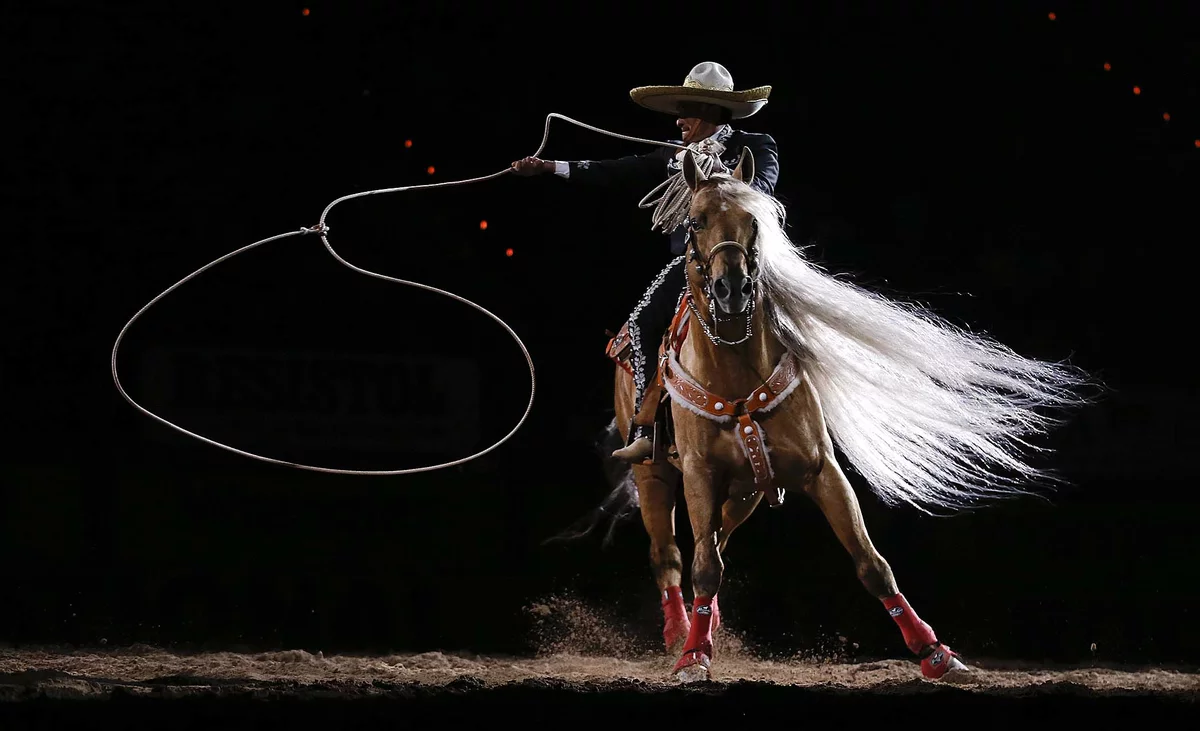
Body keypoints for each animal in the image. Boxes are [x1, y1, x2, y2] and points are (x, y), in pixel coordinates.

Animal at [609, 145, 1089, 681]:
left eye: (754, 220)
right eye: (695, 221)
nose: (732, 287)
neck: (734, 375)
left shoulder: (822, 472)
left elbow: (870, 563)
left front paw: (935, 653)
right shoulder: (699, 475)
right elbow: (704, 568)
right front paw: (693, 657)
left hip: (745, 490)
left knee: (715, 542)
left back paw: (705, 624)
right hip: (655, 473)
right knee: (672, 554)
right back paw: (679, 633)